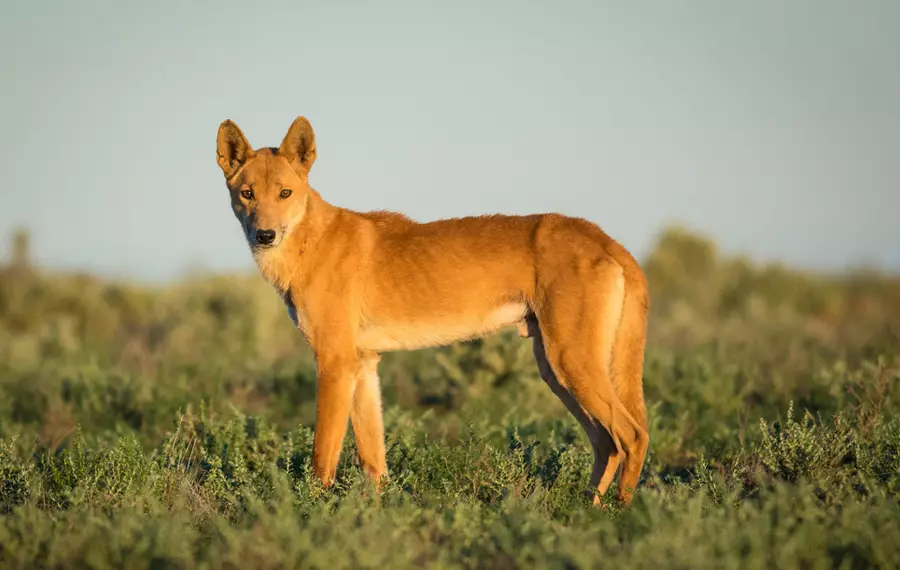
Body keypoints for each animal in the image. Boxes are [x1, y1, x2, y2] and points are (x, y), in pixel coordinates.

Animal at [218, 114, 652, 502]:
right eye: (248, 194)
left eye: (285, 193)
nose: (265, 235)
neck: (310, 242)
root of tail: (604, 238)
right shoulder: (363, 363)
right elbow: (374, 461)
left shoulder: (334, 362)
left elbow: (322, 455)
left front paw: (314, 513)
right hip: (556, 370)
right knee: (606, 442)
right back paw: (586, 509)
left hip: (570, 363)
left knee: (632, 435)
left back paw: (621, 513)